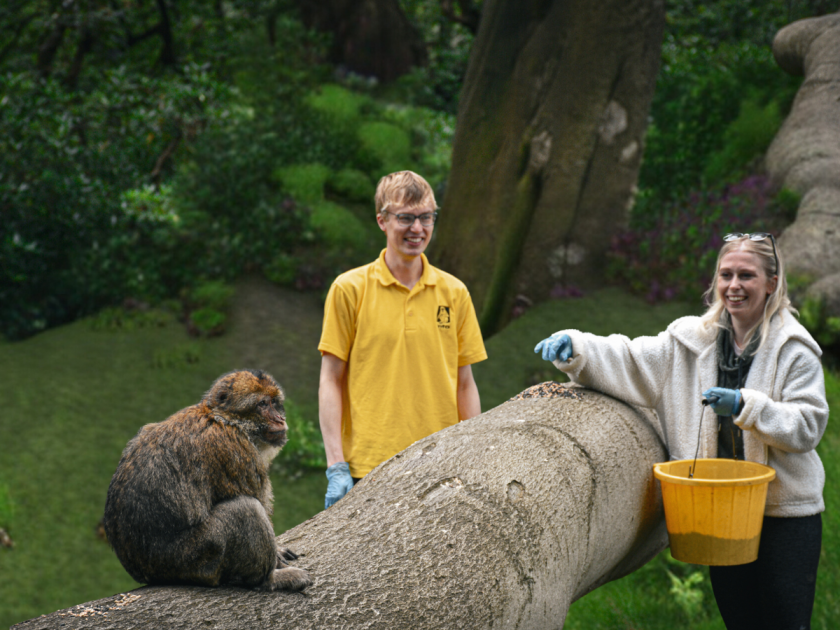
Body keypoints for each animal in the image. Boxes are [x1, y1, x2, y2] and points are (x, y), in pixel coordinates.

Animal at [102, 369, 312, 592]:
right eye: (262, 404)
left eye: (274, 402)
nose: (280, 419)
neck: (225, 420)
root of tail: (142, 570)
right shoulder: (236, 451)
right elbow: (256, 503)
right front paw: (276, 559)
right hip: (192, 560)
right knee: (245, 509)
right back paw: (268, 580)